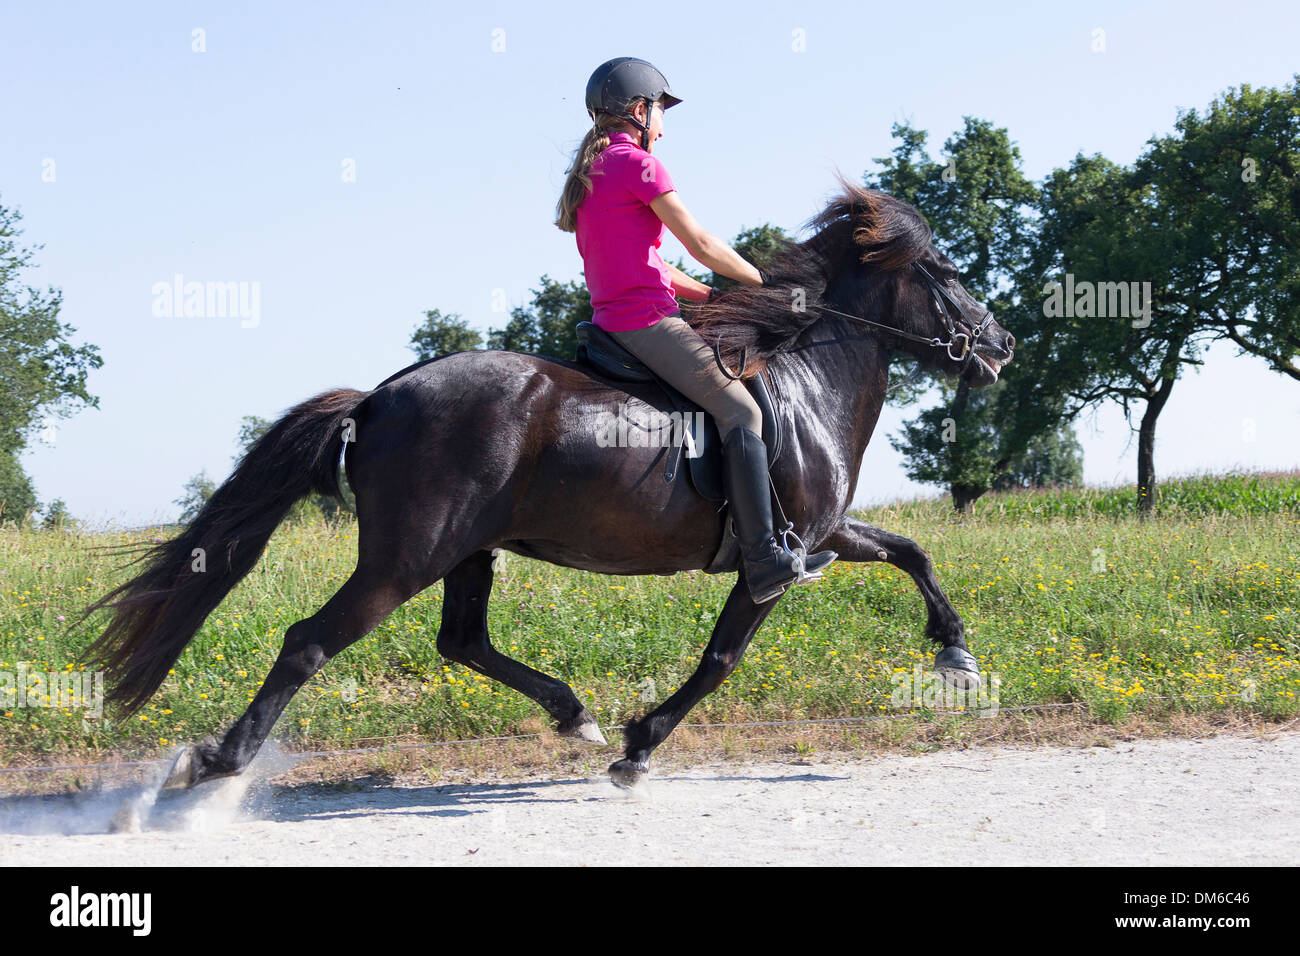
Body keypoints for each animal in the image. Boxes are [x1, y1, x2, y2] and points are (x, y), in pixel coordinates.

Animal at [80, 174, 1015, 790]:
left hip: (469, 550)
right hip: (405, 558)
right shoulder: (776, 559)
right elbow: (721, 658)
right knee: (309, 641)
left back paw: (573, 714)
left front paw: (957, 654)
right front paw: (639, 747)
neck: (802, 376)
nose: (1001, 346)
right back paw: (219, 761)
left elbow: (910, 549)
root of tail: (379, 396)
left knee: (462, 642)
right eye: (946, 273)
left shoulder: (821, 532)